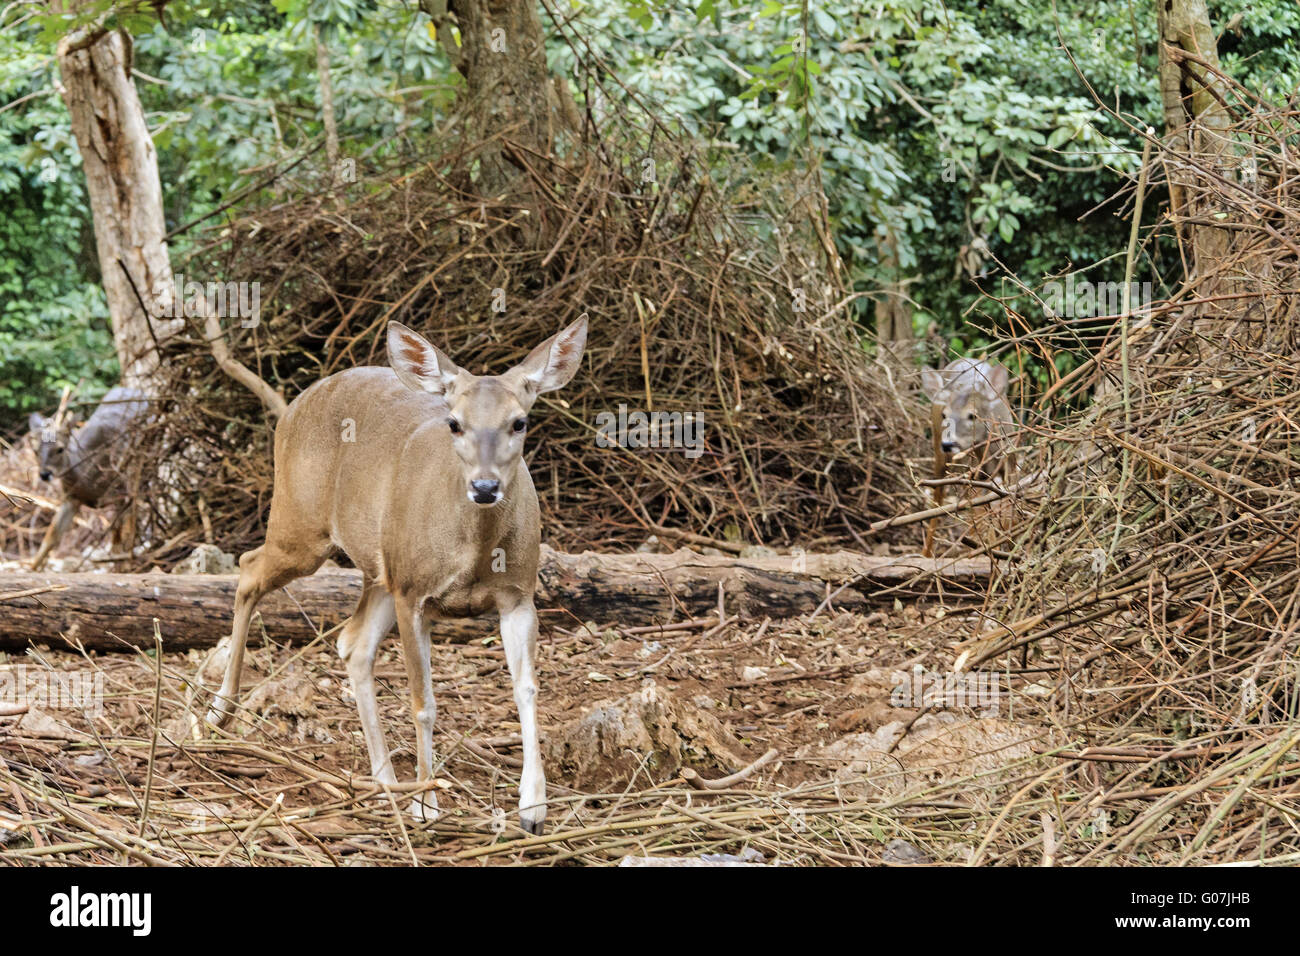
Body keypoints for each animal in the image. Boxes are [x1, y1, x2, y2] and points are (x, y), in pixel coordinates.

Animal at [28, 386, 149, 570]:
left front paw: (121, 565)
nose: (45, 474)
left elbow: (119, 535)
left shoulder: (119, 493)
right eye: (35, 450)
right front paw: (32, 568)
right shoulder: (71, 498)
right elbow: (52, 536)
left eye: (60, 449)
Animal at [205, 314, 588, 835]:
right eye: (455, 422)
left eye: (519, 421)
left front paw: (533, 807)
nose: (484, 486)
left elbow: (526, 688)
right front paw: (427, 802)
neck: (473, 552)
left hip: (378, 569)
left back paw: (384, 778)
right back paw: (219, 710)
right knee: (247, 569)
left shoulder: (519, 593)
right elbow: (423, 703)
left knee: (352, 642)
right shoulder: (414, 594)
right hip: (301, 526)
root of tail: (291, 410)